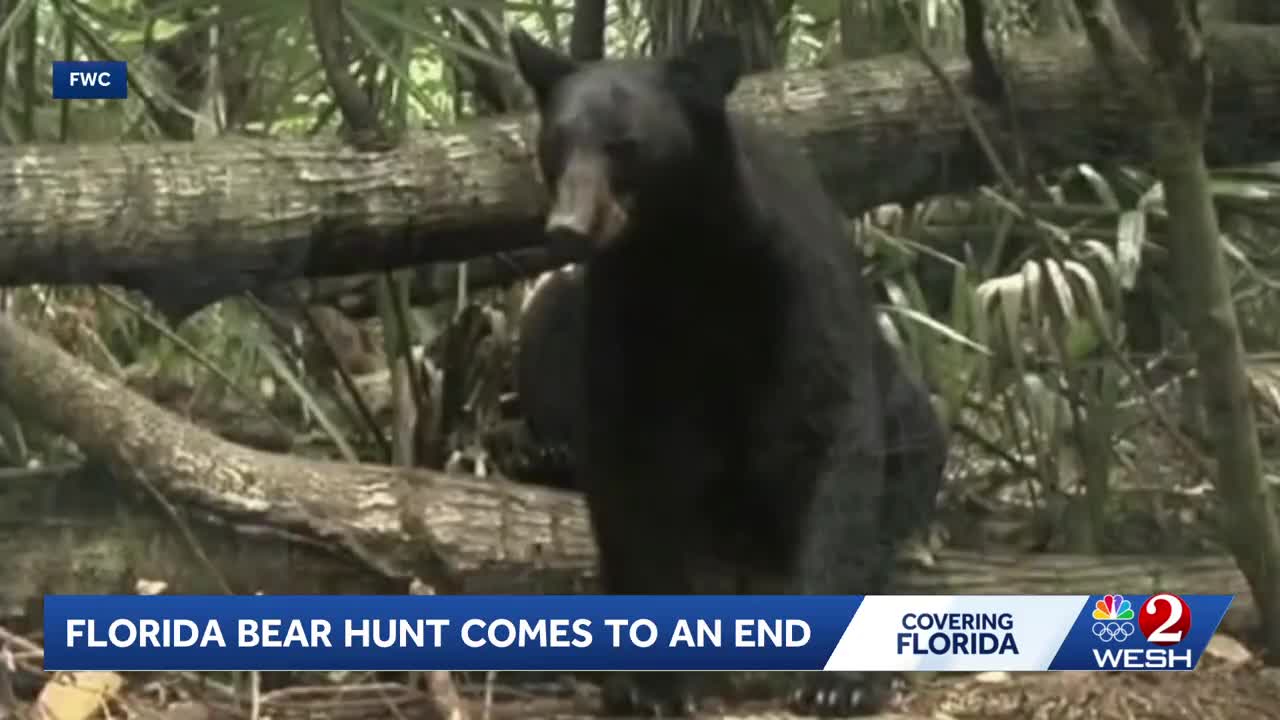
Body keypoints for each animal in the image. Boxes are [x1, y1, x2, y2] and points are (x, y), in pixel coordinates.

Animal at [509, 28, 946, 717]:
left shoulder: (795, 283)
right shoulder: (621, 310)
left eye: (623, 144)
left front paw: (838, 680)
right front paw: (649, 683)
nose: (568, 228)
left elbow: (837, 440)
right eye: (555, 142)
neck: (685, 253)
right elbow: (625, 466)